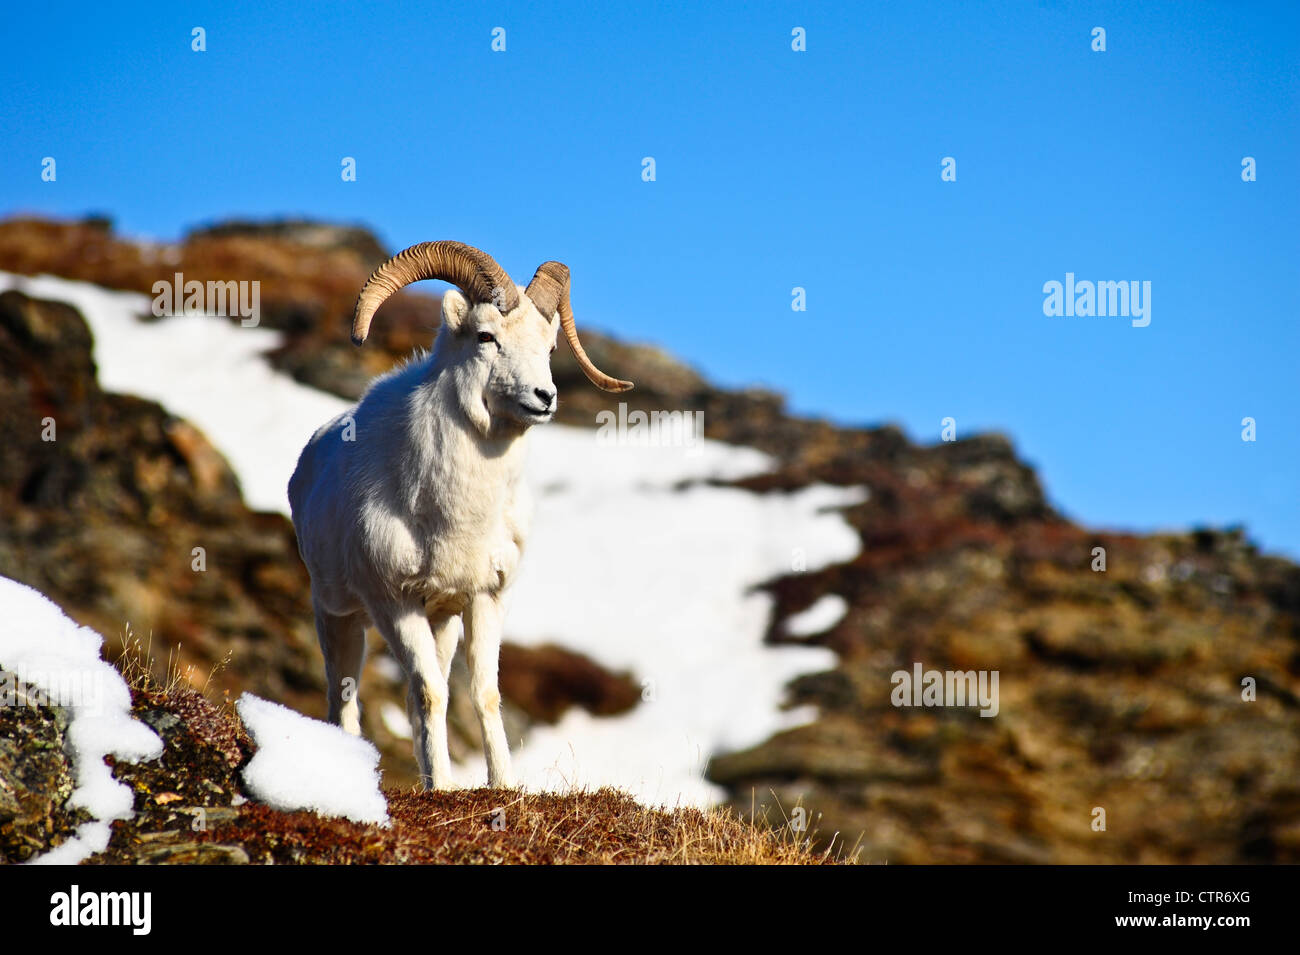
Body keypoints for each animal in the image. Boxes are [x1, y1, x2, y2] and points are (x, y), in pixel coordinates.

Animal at [288, 241, 632, 789]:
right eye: (486, 336)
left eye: (548, 347)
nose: (545, 398)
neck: (454, 513)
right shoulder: (395, 603)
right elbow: (430, 692)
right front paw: (444, 788)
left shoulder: (484, 598)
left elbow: (482, 694)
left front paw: (501, 786)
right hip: (338, 616)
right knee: (344, 696)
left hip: (441, 622)